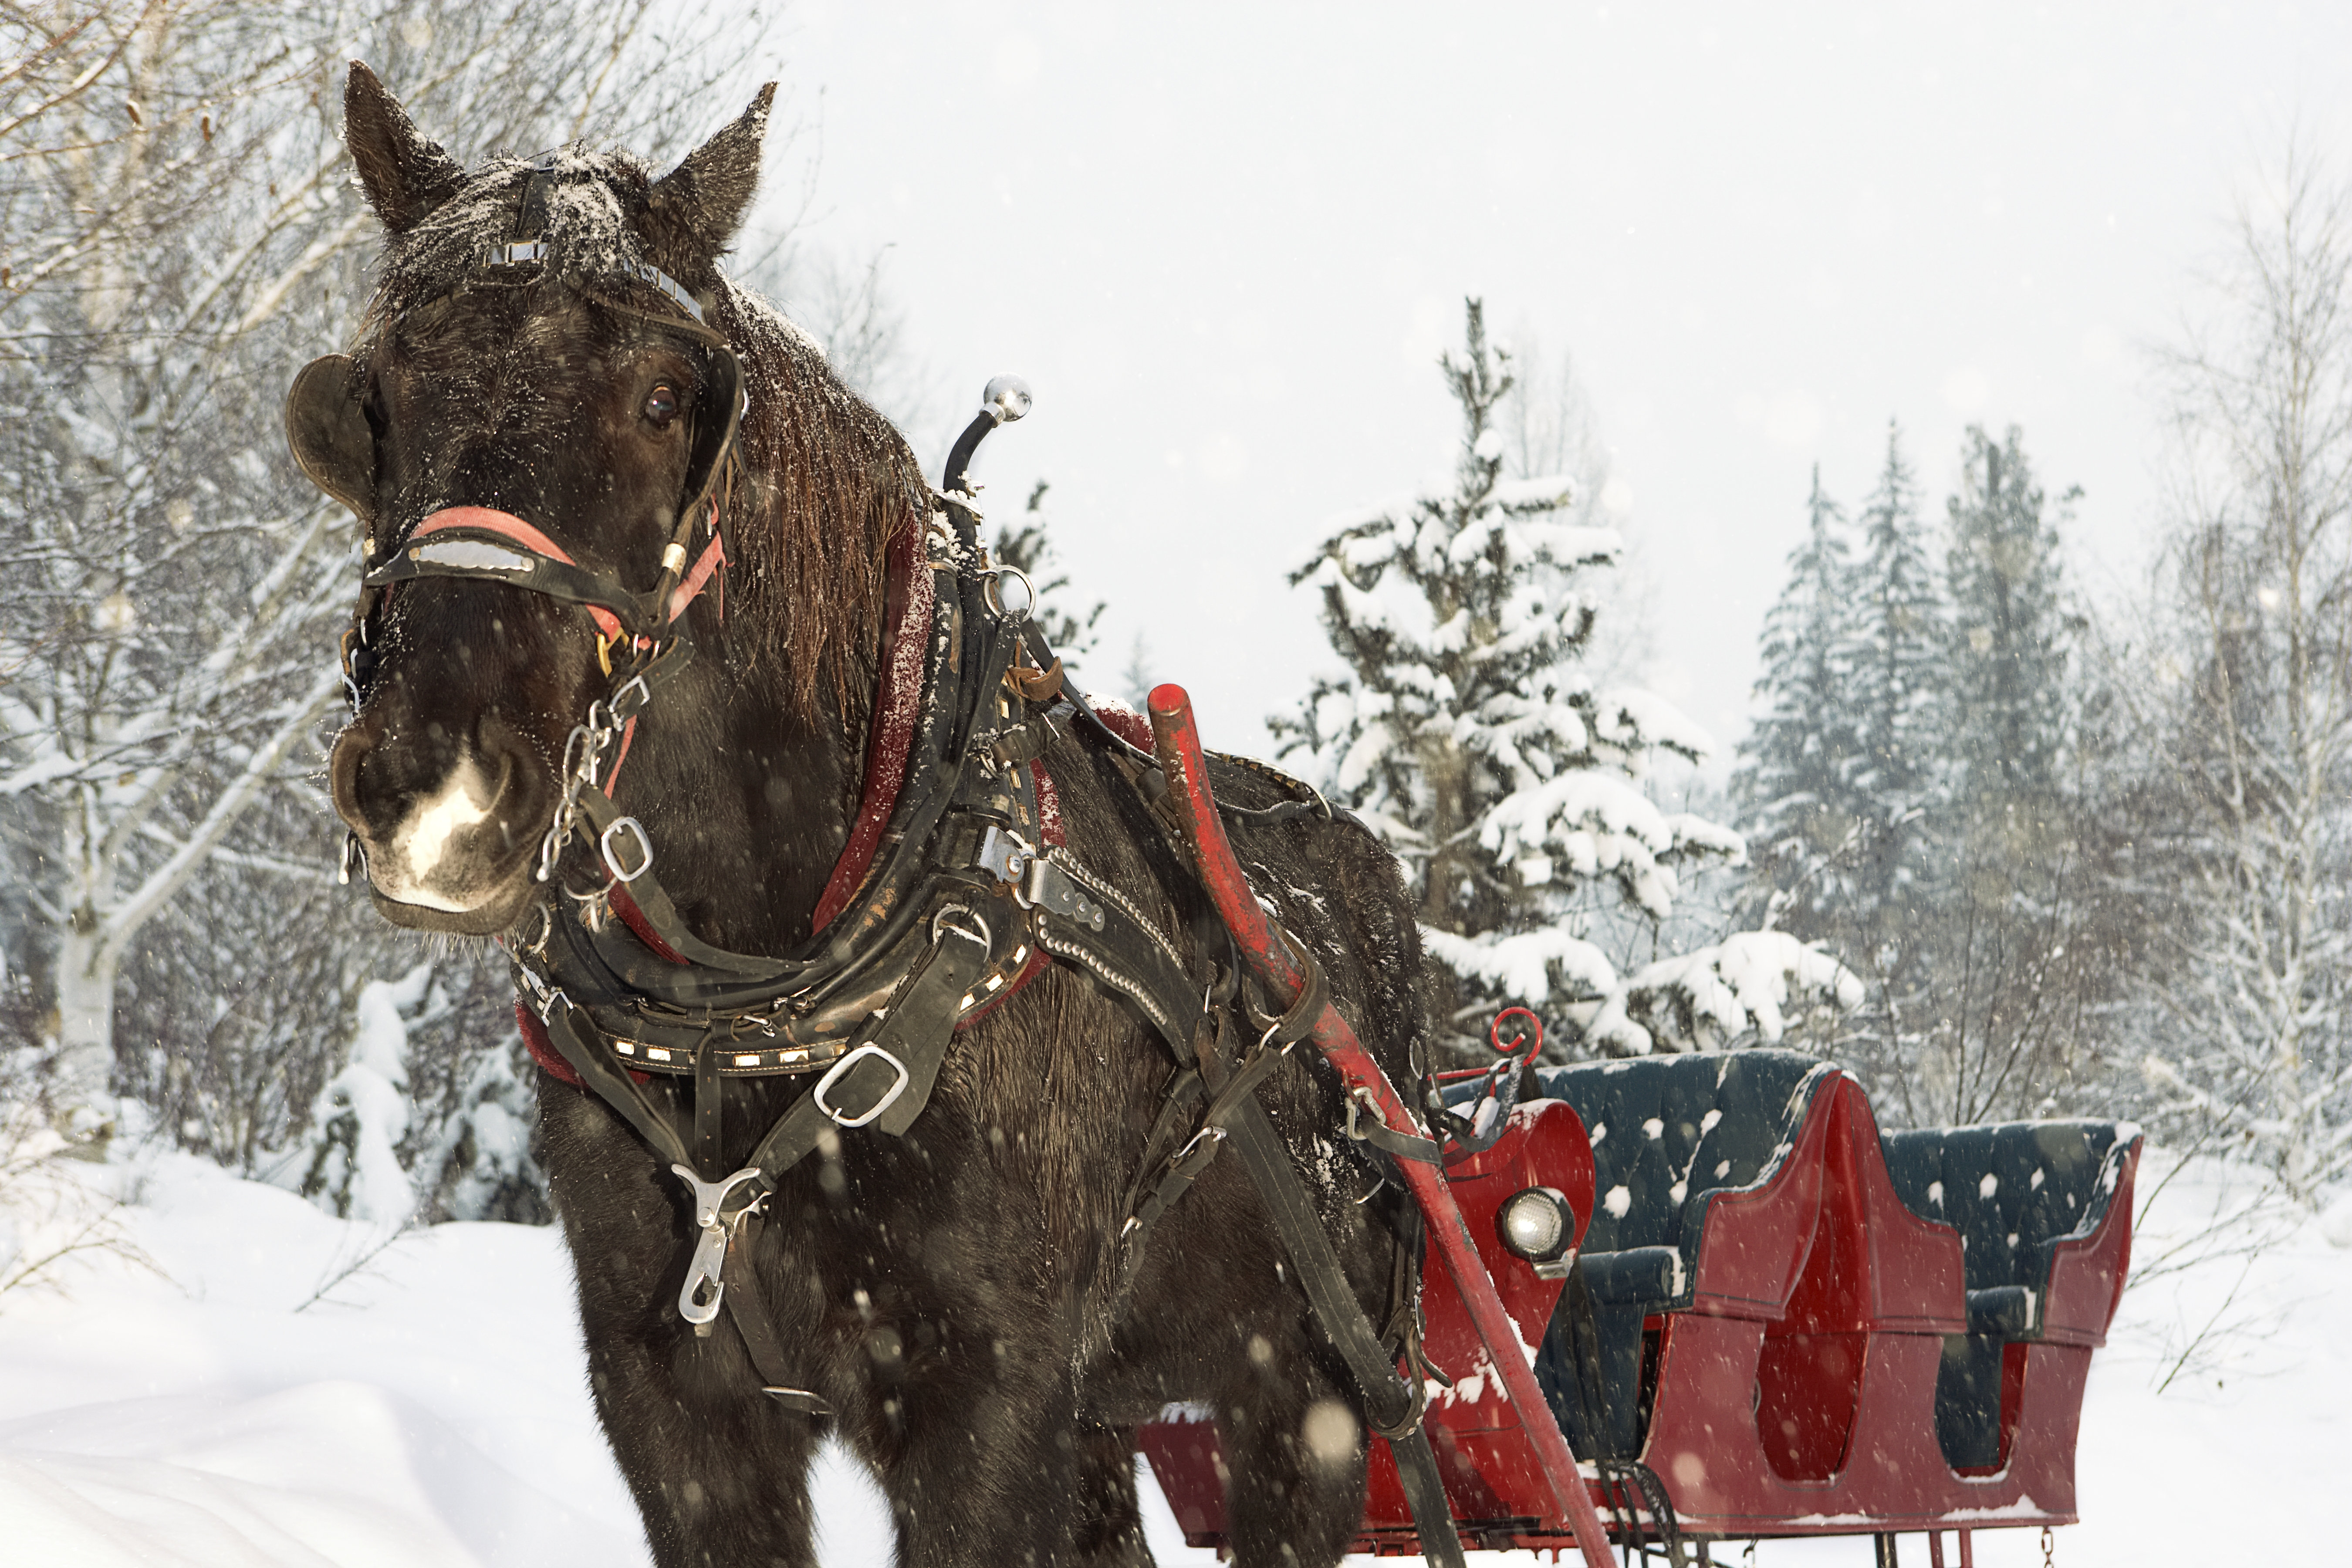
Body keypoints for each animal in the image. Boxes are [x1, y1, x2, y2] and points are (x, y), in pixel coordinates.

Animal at [298, 63, 1443, 1568]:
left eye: (664, 396)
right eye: (374, 394)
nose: (434, 790)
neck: (762, 996)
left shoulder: (987, 1412)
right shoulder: (676, 1408)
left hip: (1305, 1399)